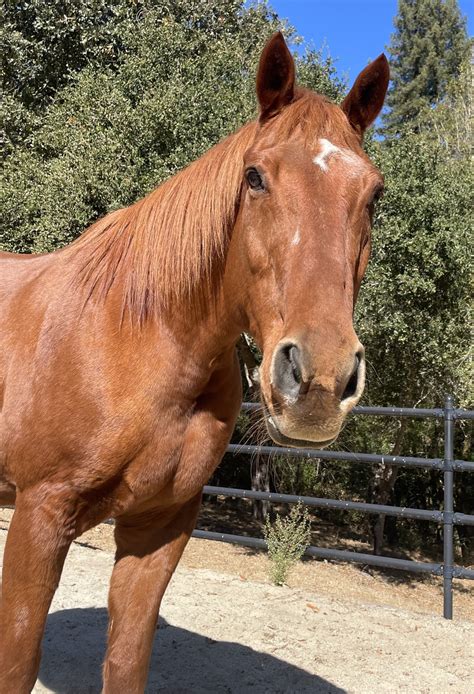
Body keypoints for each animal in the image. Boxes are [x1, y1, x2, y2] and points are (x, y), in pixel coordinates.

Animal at [0, 32, 389, 692]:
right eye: (255, 177)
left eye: (374, 195)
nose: (318, 379)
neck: (135, 339)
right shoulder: (37, 519)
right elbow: (17, 662)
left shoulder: (159, 531)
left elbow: (126, 661)